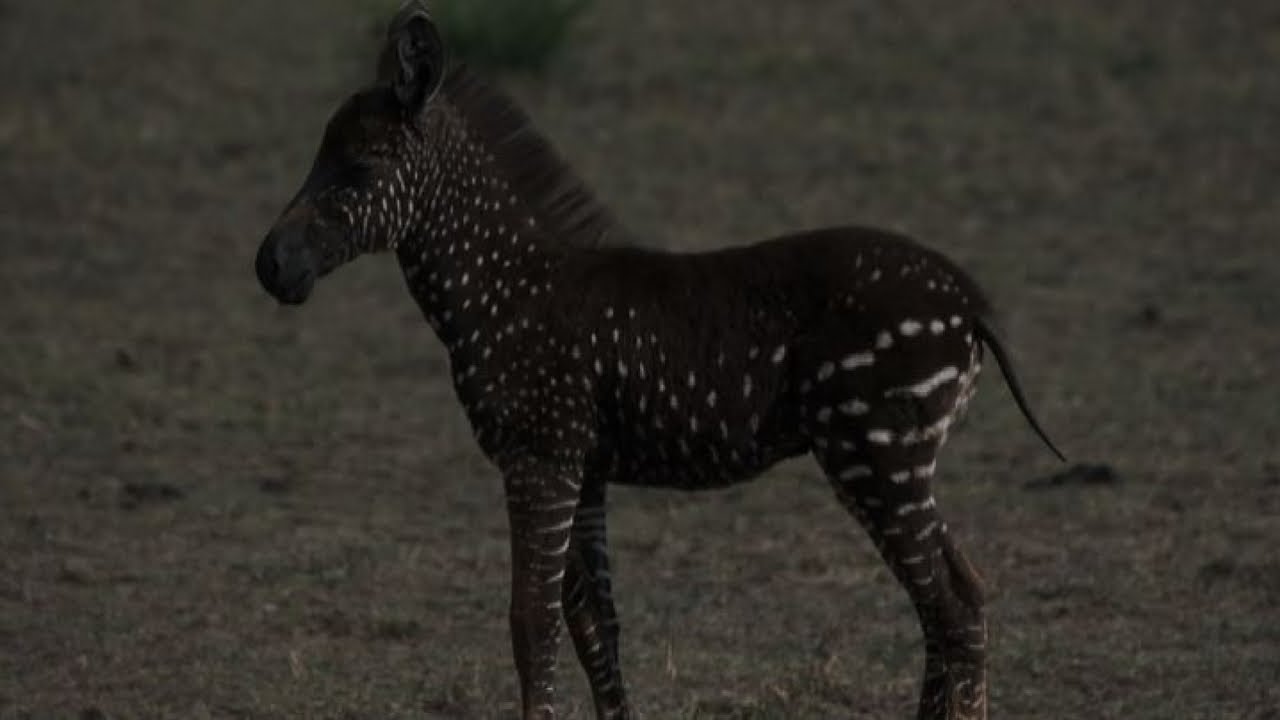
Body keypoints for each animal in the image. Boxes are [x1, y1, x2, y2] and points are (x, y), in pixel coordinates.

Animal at [253, 3, 1064, 719]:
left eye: (359, 167)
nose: (269, 267)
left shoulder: (539, 458)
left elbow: (530, 624)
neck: (506, 287)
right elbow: (595, 631)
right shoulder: (583, 469)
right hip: (884, 464)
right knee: (950, 597)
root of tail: (967, 299)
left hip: (880, 455)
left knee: (955, 605)